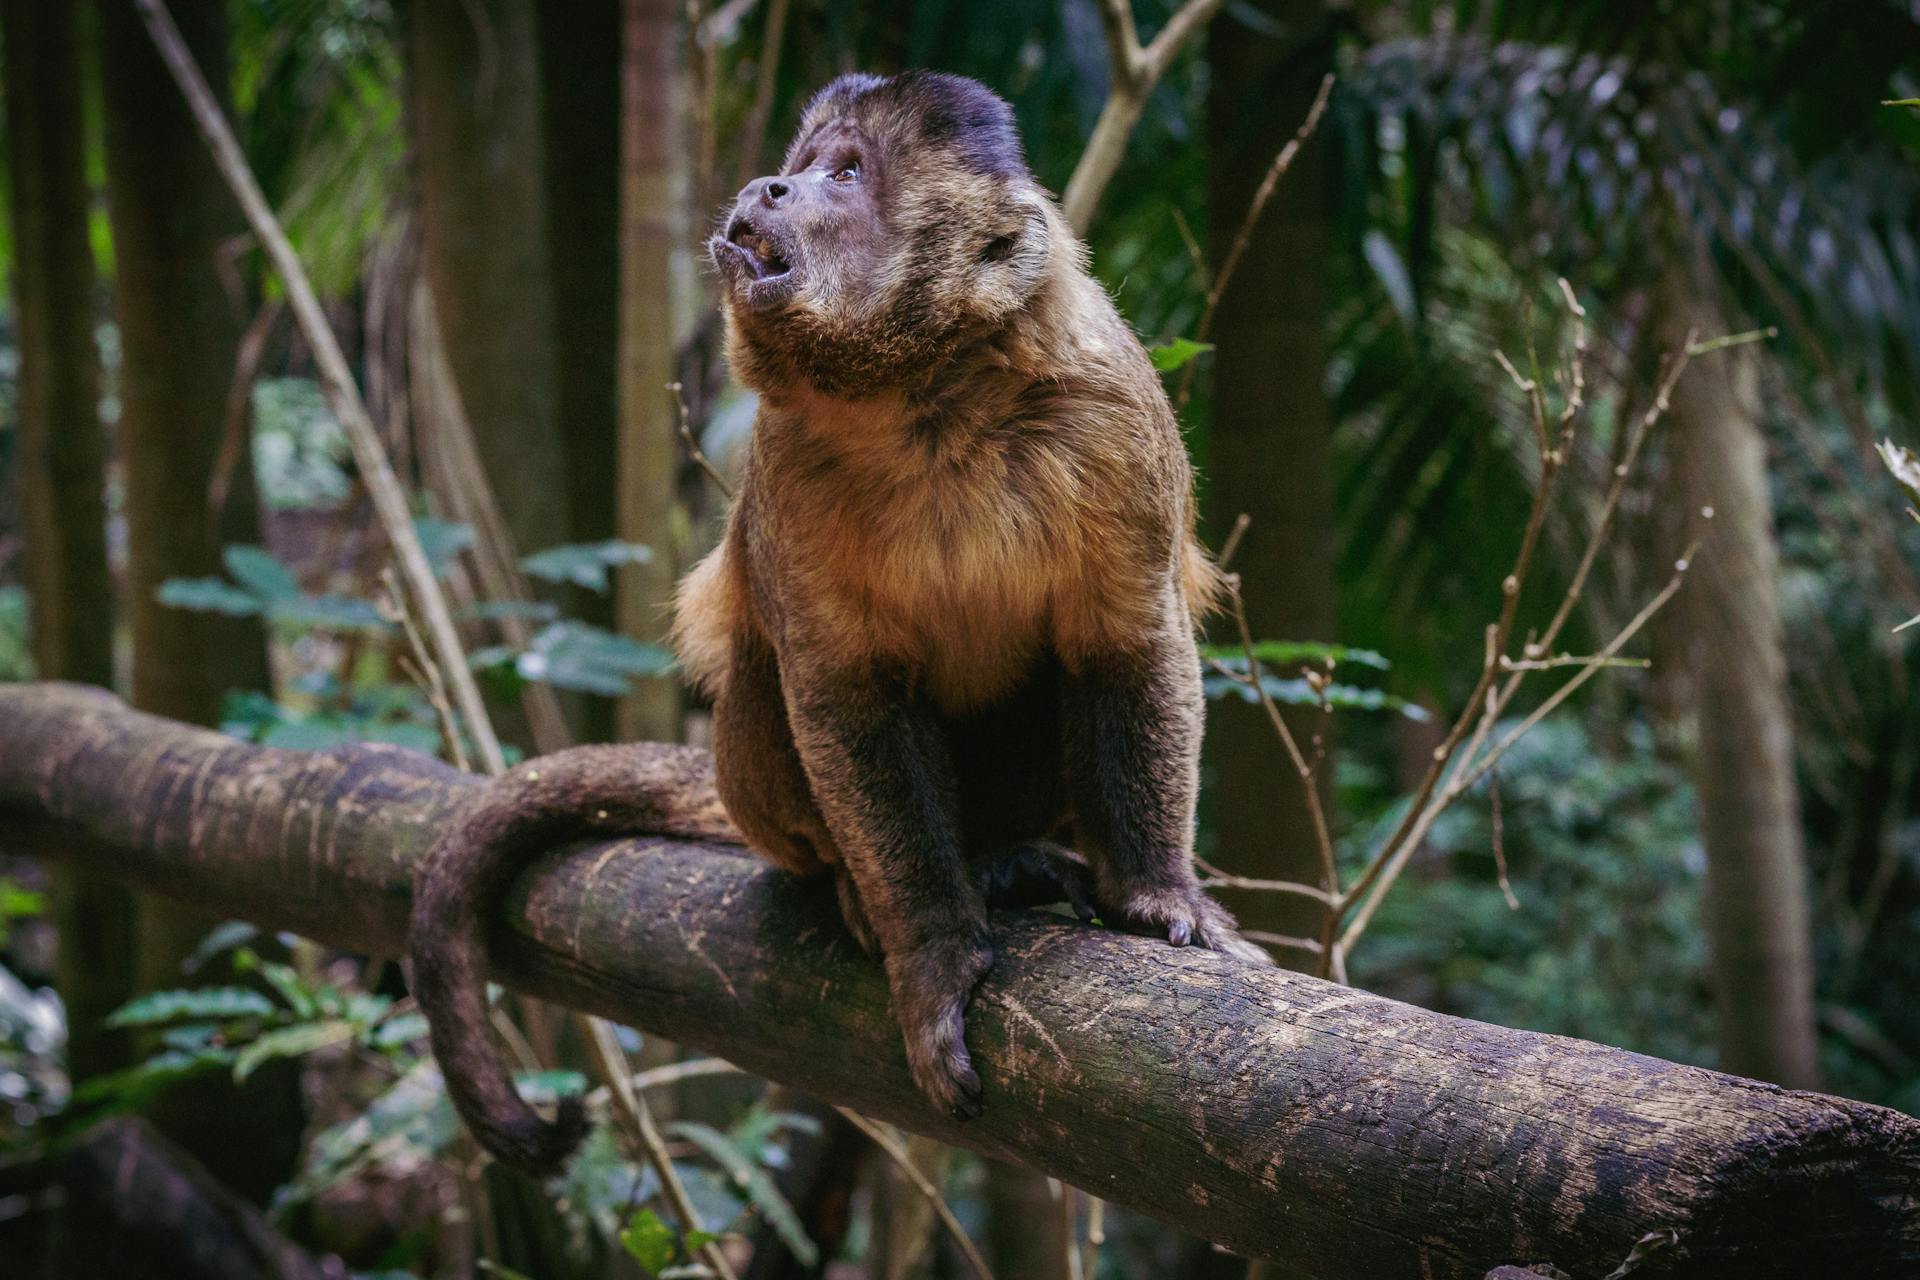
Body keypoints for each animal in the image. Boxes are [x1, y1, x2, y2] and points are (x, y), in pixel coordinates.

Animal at [408, 70, 1269, 1177]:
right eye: (805, 162)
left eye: (846, 174)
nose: (769, 186)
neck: (931, 398)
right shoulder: (786, 458)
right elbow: (843, 694)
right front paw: (932, 946)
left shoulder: (1112, 417)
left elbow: (1126, 646)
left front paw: (1159, 891)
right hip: (758, 788)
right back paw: (896, 882)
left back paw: (1010, 852)